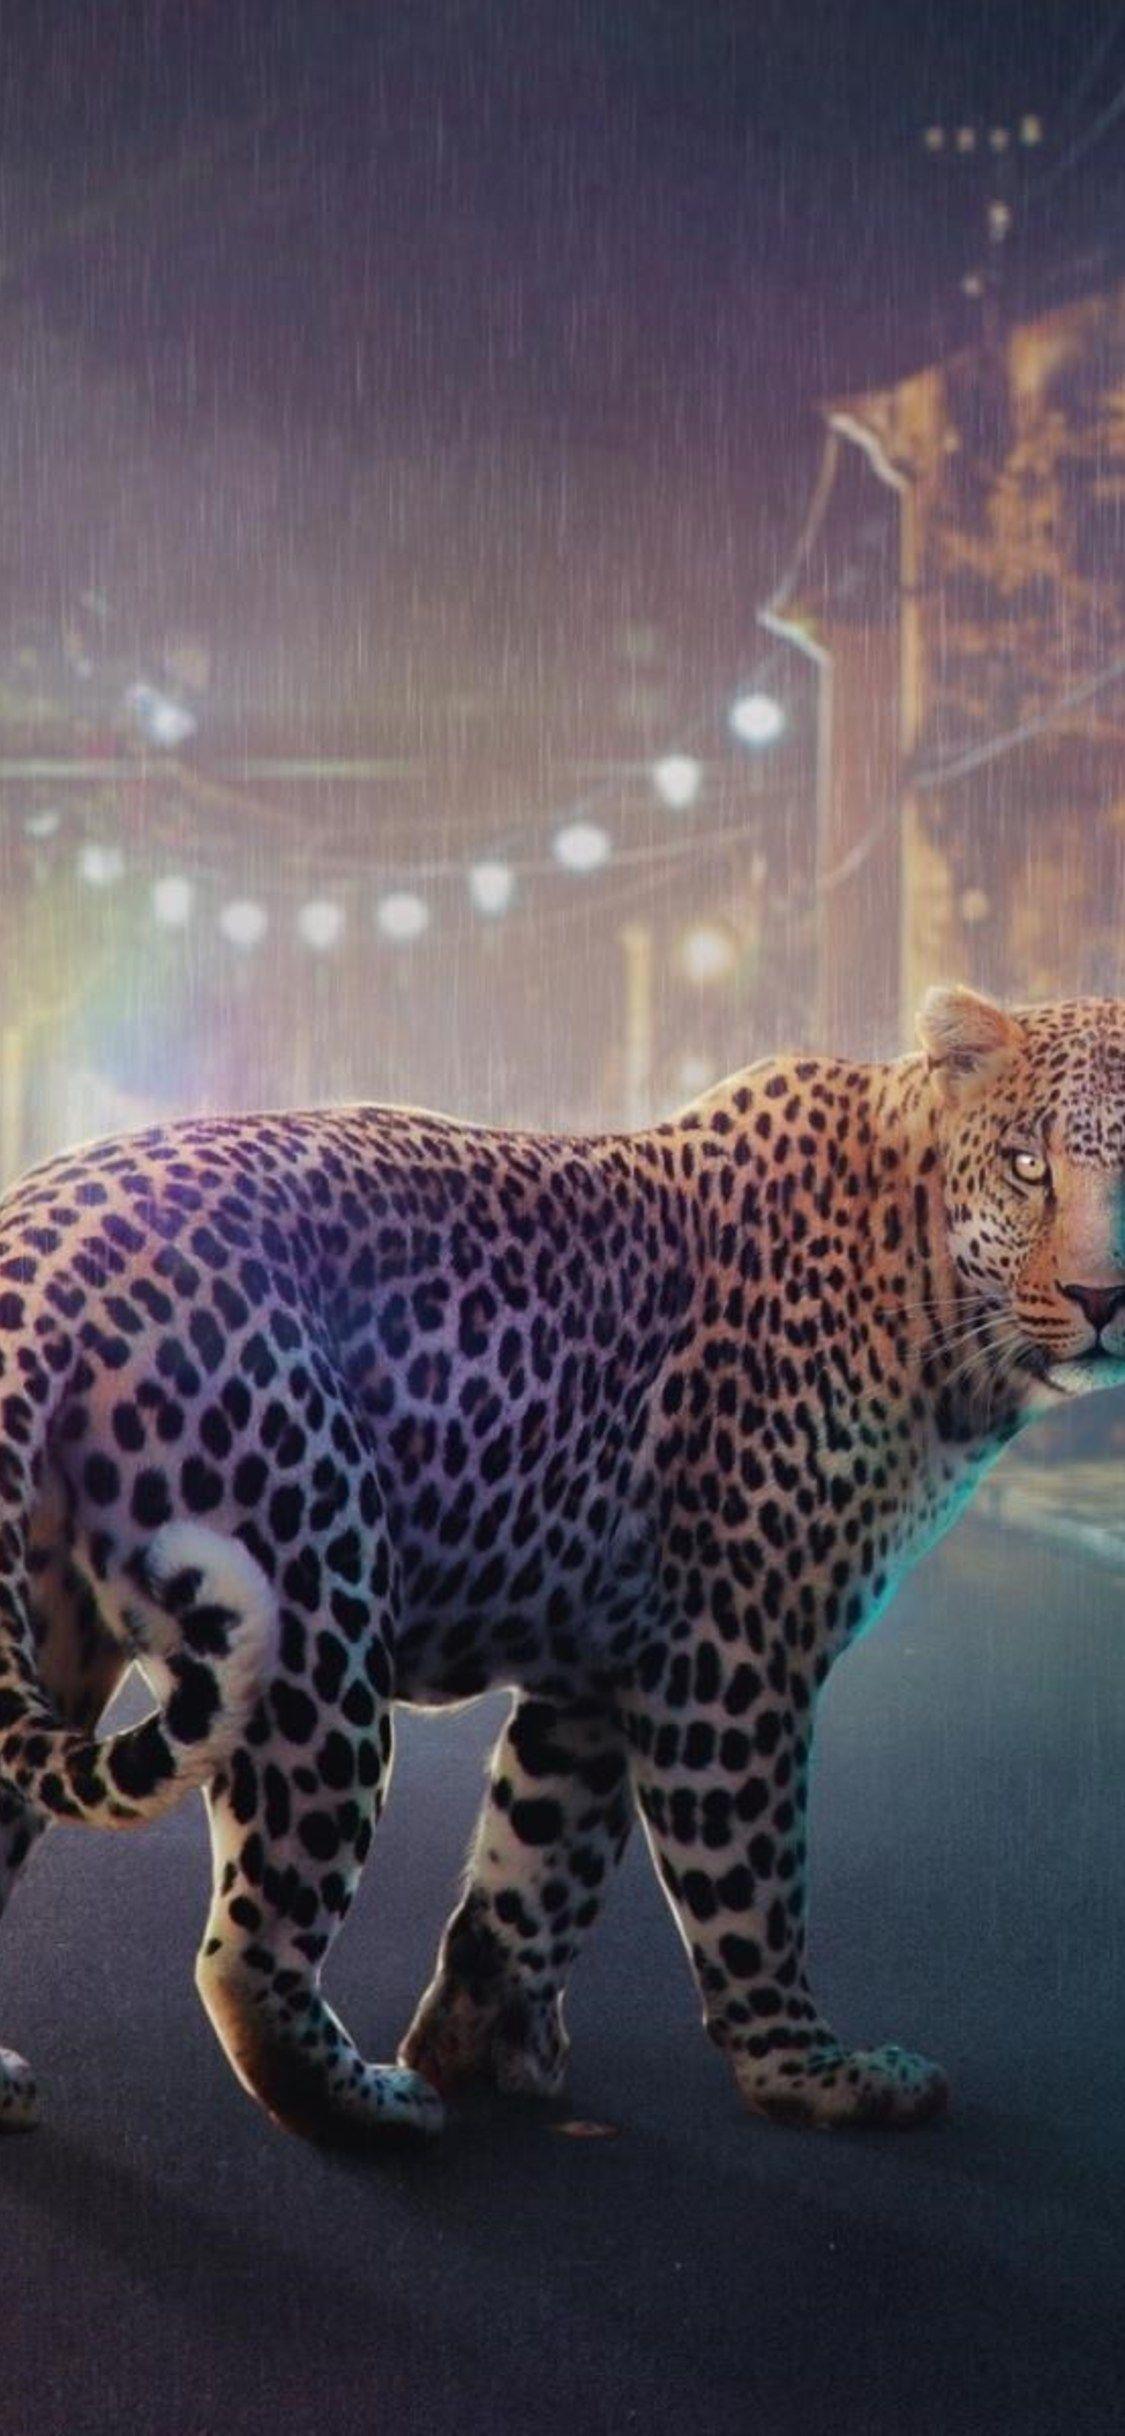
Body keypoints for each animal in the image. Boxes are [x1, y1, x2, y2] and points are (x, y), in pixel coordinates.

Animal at [0, 980, 1120, 2145]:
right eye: (1031, 1166)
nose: (1103, 1299)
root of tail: (36, 1245)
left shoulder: (598, 1667)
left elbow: (537, 1865)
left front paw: (483, 2046)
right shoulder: (729, 1657)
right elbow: (752, 1887)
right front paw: (811, 2073)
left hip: (52, 1625)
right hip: (319, 1613)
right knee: (248, 1950)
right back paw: (372, 2108)